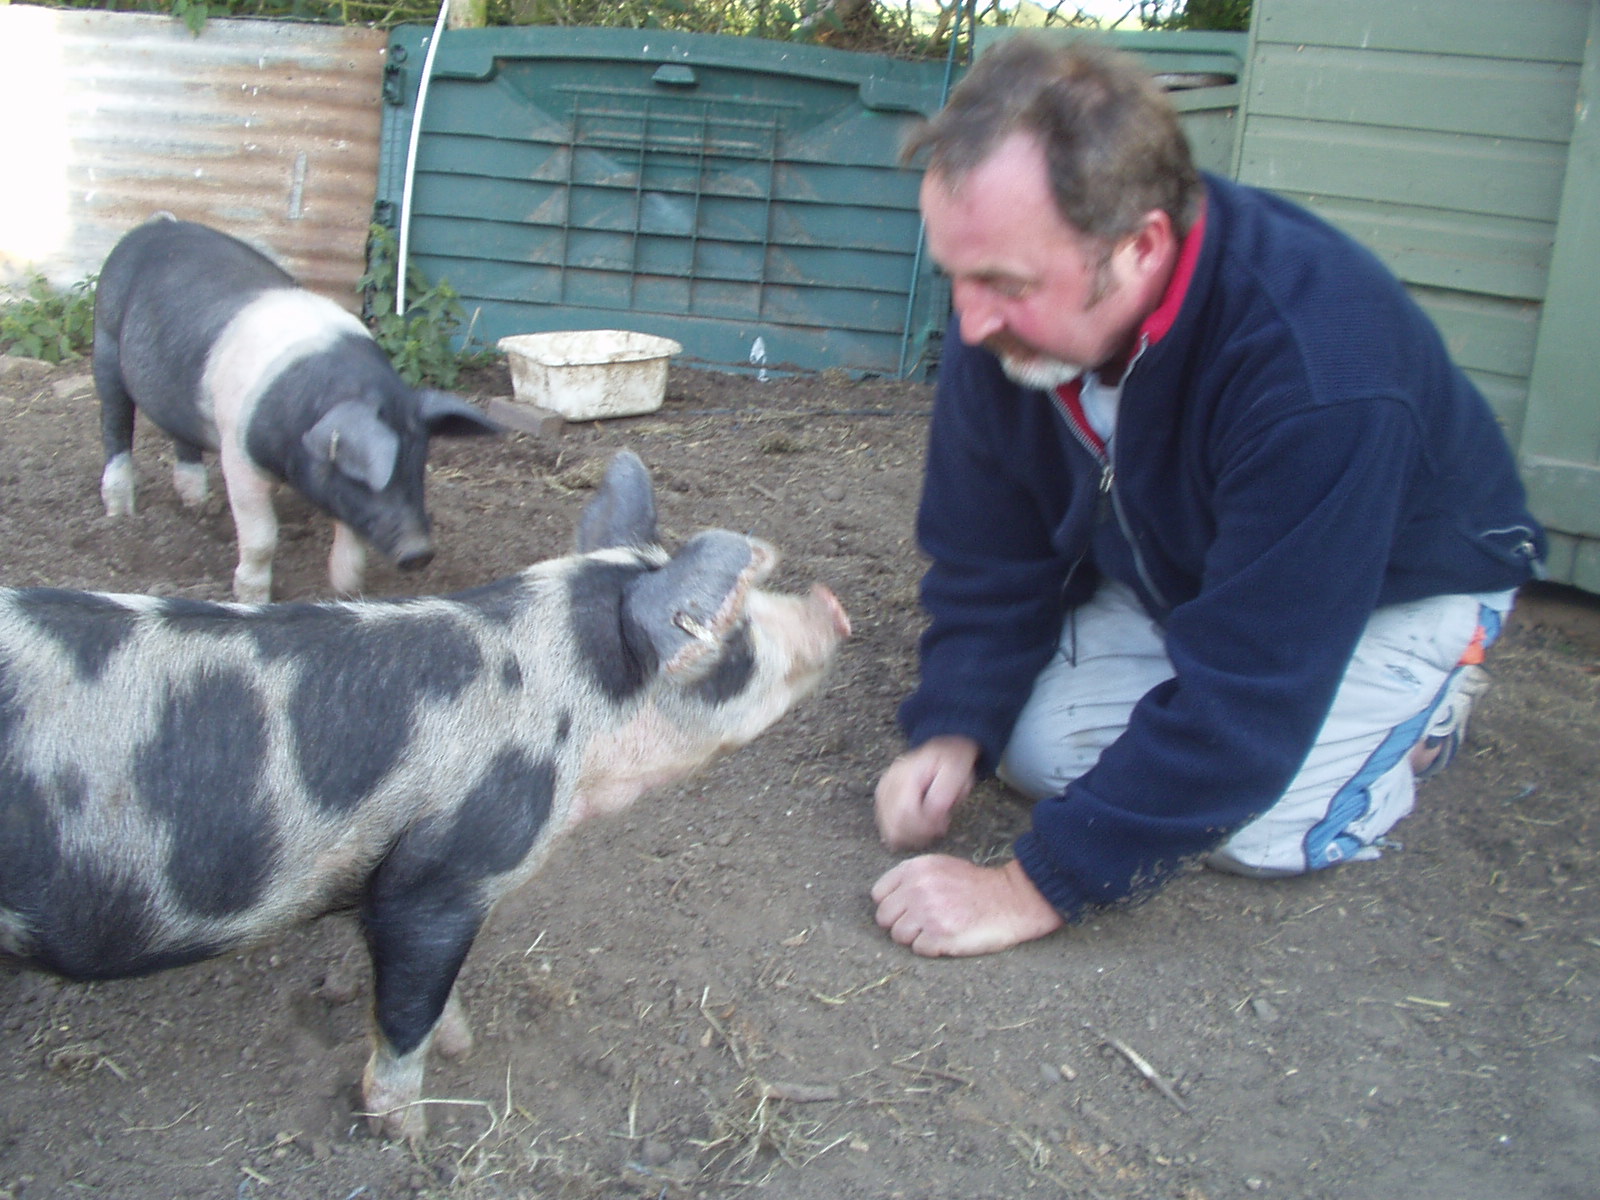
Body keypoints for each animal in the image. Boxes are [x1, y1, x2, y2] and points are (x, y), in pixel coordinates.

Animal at [0, 451, 849, 1140]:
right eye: (735, 638)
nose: (829, 600)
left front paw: (459, 1040)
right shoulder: (441, 872)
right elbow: (407, 1003)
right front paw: (408, 1128)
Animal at [92, 215, 501, 603]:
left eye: (418, 465)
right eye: (369, 478)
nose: (419, 553)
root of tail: (157, 224)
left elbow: (352, 536)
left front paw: (345, 592)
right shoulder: (238, 452)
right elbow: (262, 536)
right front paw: (253, 597)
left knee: (181, 437)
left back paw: (197, 504)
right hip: (106, 341)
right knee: (115, 426)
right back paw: (120, 513)